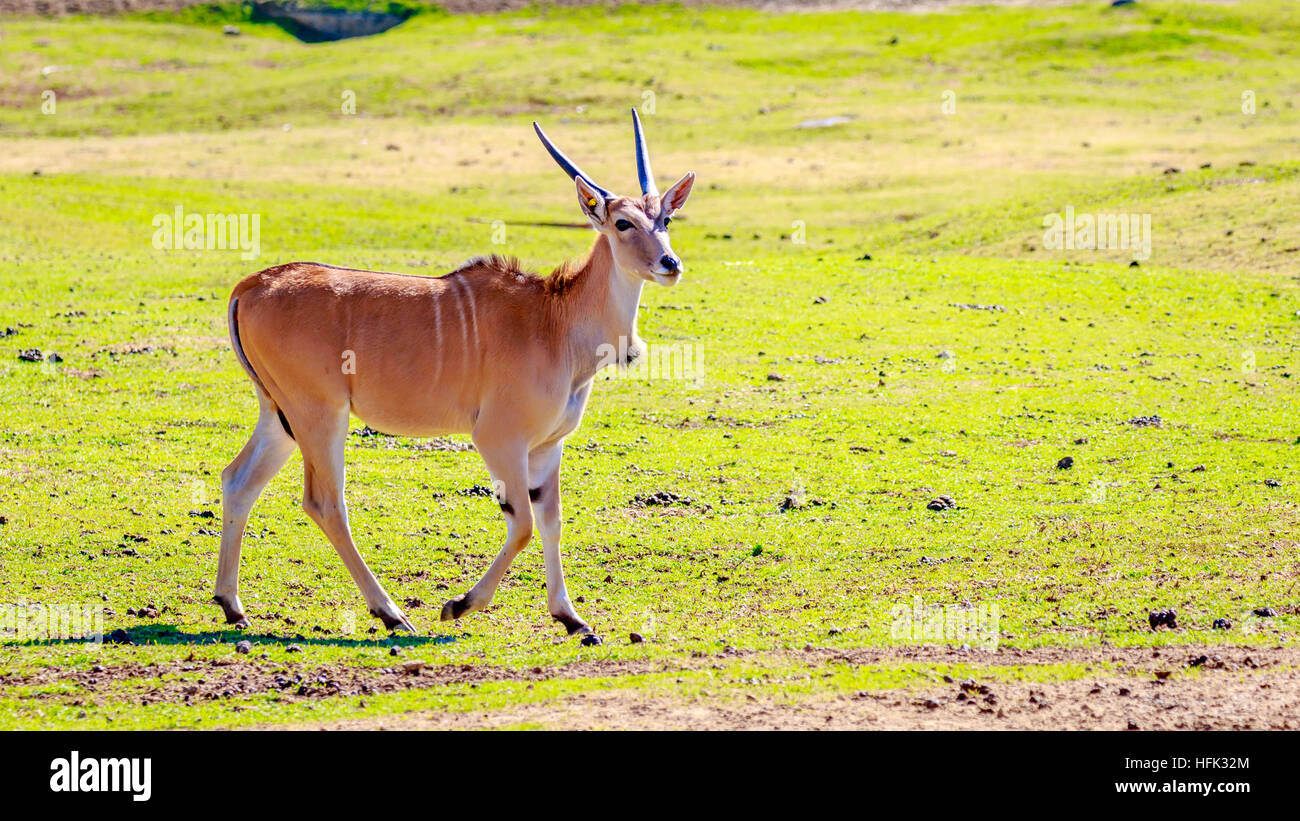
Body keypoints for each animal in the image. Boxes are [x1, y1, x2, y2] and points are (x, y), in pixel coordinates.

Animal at [215, 111, 695, 640]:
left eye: (666, 219)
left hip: (280, 416)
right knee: (324, 502)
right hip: (319, 414)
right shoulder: (499, 438)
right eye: (622, 222)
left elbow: (551, 521)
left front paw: (571, 618)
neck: (554, 319)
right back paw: (392, 612)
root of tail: (250, 286)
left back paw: (233, 605)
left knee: (239, 480)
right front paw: (460, 604)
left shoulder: (548, 447)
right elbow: (523, 525)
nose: (670, 263)